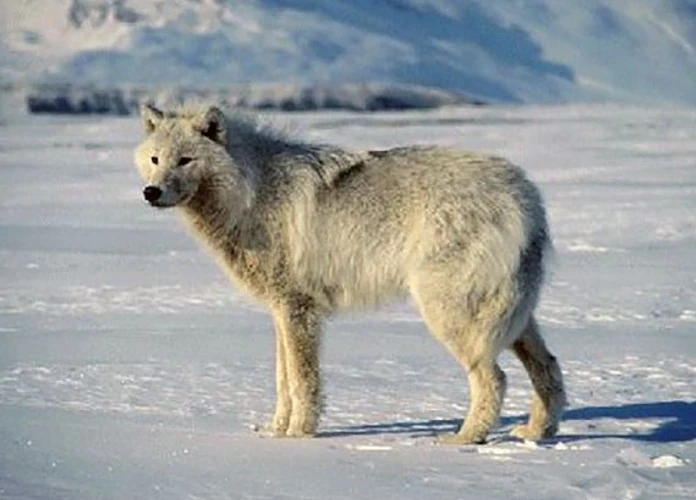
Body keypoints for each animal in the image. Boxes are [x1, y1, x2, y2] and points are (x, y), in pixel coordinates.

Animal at [134, 103, 566, 444]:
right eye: (155, 160)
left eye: (185, 160)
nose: (150, 193)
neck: (251, 189)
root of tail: (527, 197)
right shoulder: (281, 311)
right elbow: (283, 381)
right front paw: (276, 432)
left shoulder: (297, 309)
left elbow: (302, 381)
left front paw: (299, 435)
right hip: (513, 319)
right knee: (548, 366)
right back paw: (537, 432)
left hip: (451, 315)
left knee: (494, 378)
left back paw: (463, 438)